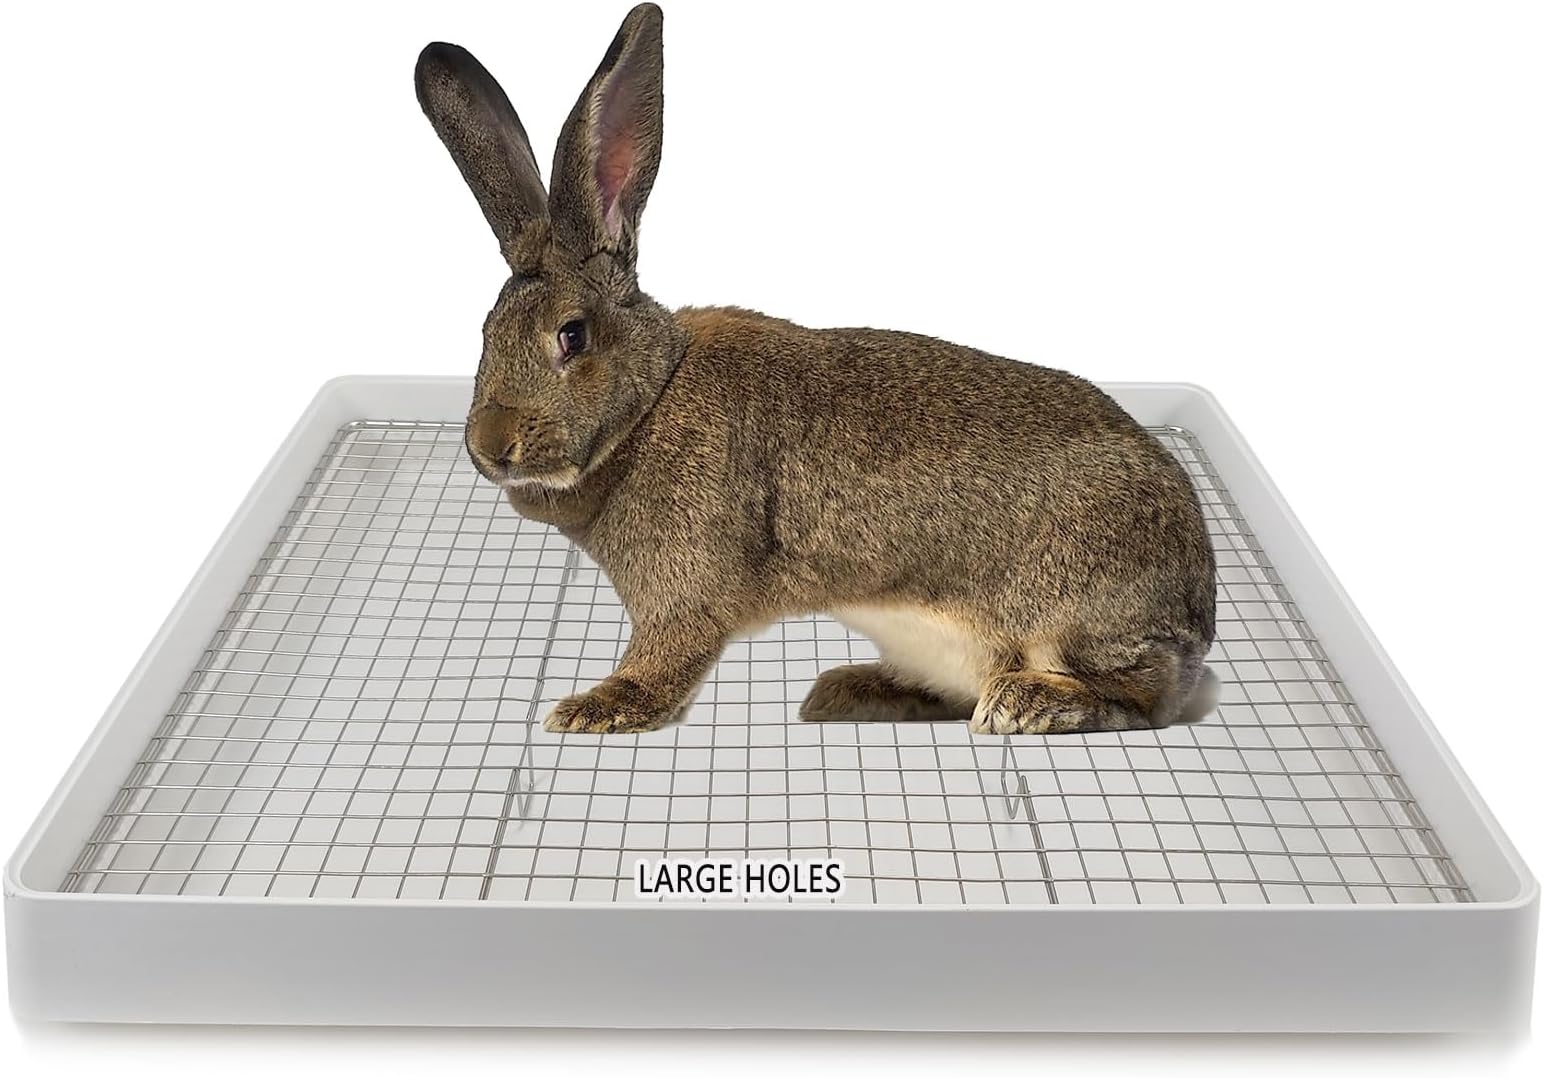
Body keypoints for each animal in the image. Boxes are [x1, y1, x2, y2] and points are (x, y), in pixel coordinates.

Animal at [415, 3, 1218, 736]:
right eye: (485, 333)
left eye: (572, 336)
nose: (491, 445)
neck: (652, 401)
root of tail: (1198, 608)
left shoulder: (686, 588)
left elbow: (666, 655)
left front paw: (596, 709)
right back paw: (849, 691)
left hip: (1071, 617)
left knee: (1144, 699)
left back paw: (1030, 703)